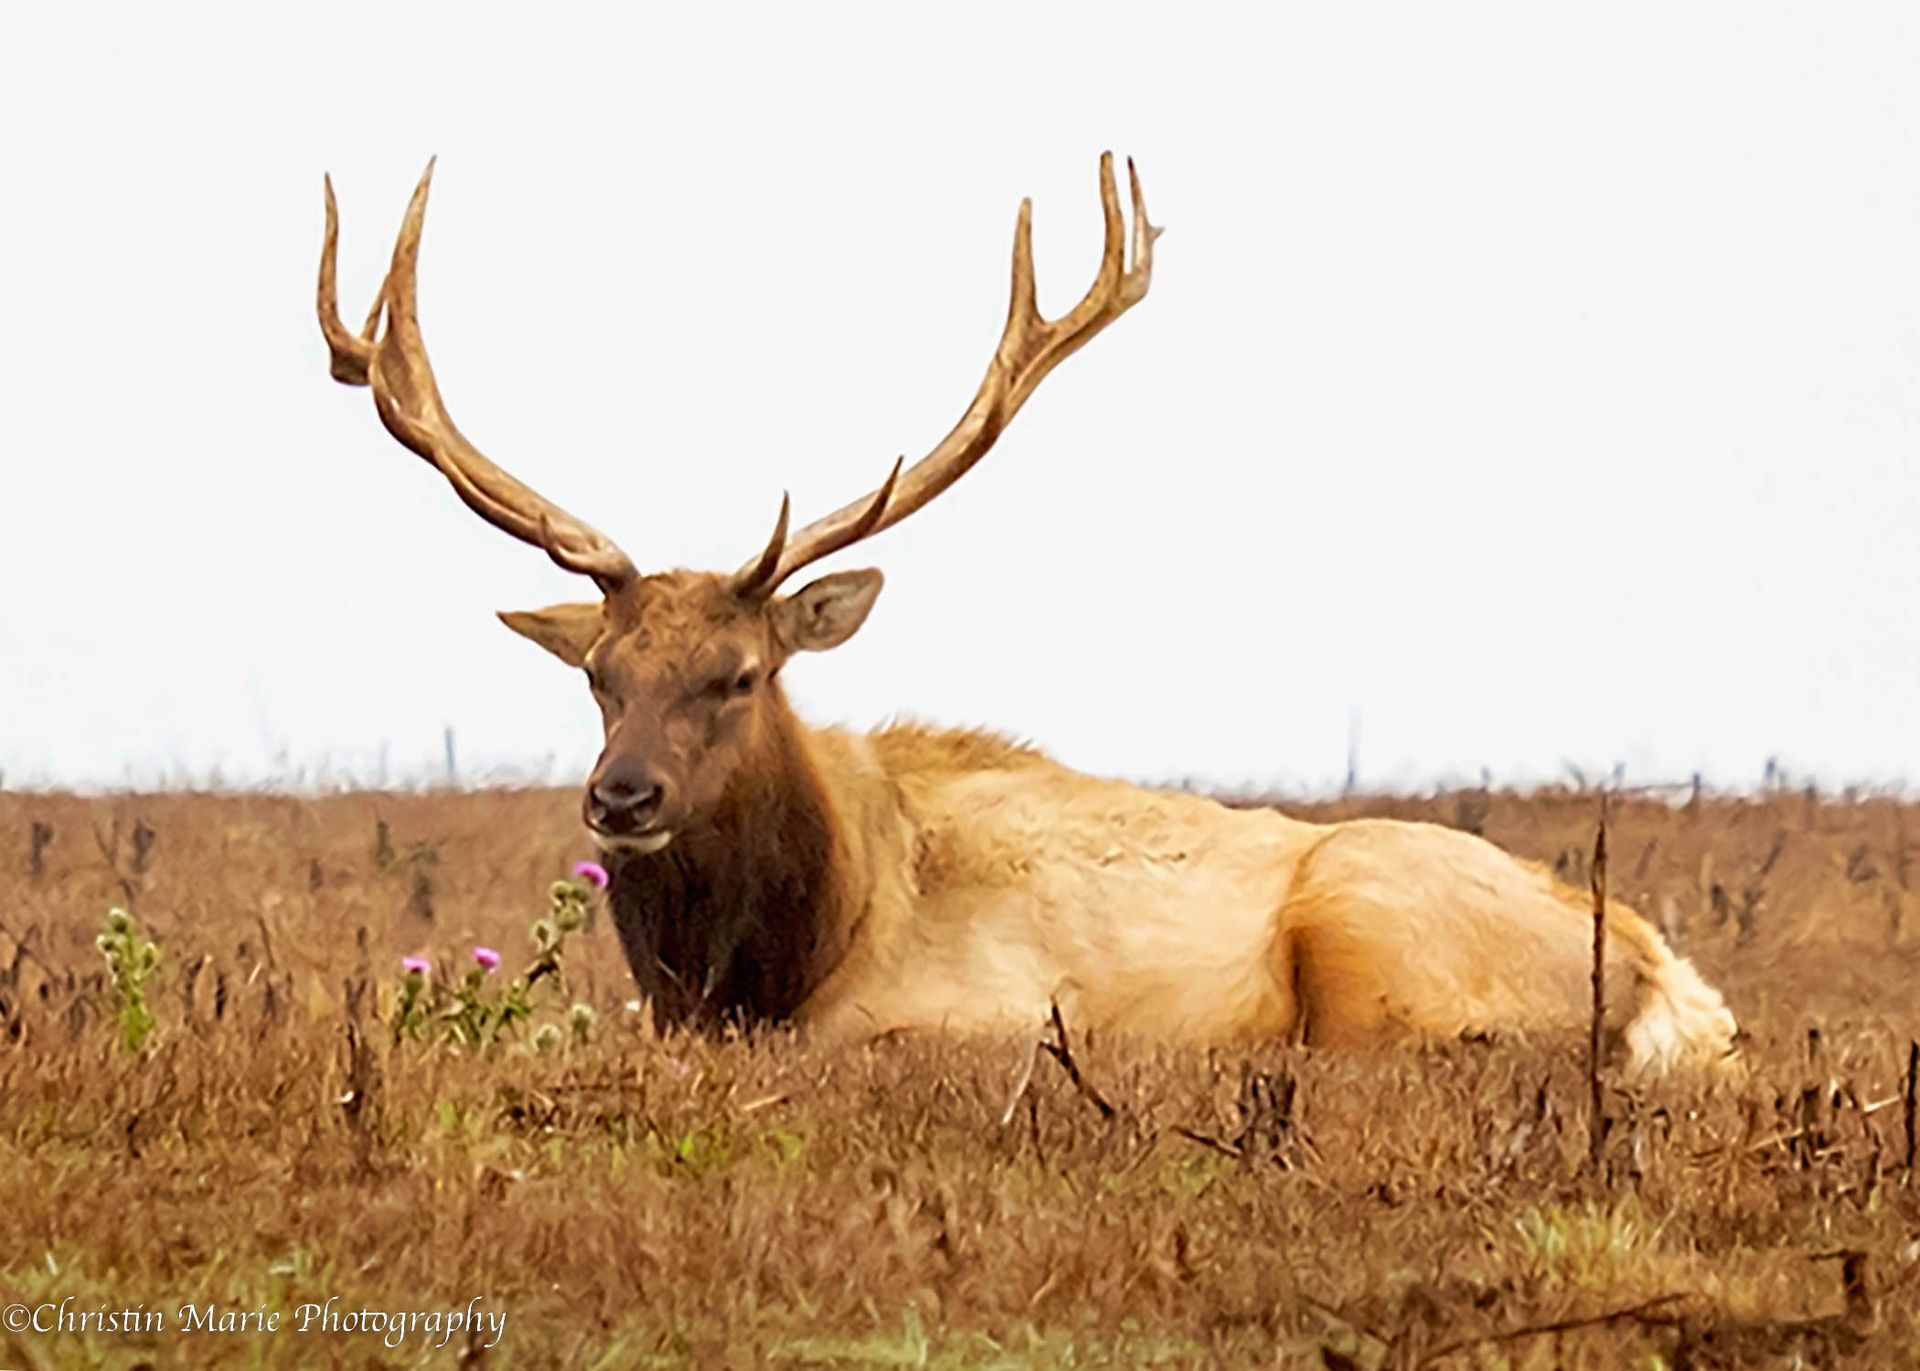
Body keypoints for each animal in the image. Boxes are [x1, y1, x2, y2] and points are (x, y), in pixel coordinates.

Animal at [317, 155, 1737, 1074]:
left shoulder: (983, 1011)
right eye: (599, 673)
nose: (622, 797)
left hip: (1374, 938)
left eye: (739, 673)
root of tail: (1678, 992)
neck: (793, 948)